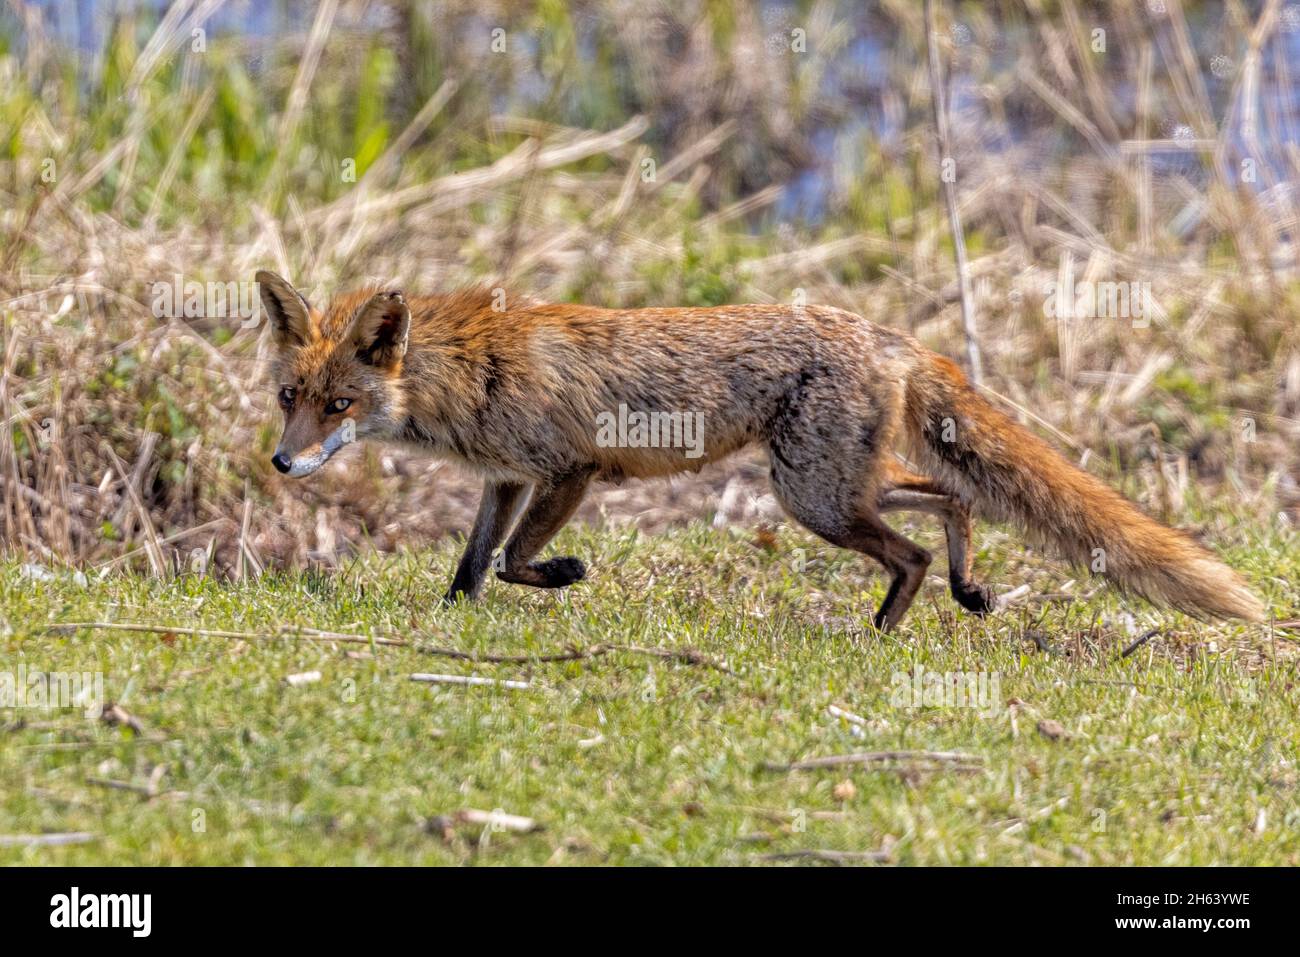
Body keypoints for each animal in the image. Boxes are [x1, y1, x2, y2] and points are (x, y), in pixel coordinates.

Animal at [255, 269, 1265, 632]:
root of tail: (885, 332)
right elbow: (471, 567)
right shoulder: (506, 479)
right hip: (832, 486)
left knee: (911, 549)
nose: (283, 465)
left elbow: (512, 561)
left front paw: (567, 575)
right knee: (954, 500)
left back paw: (883, 630)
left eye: (340, 404)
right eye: (287, 399)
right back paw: (964, 588)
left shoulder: (567, 471)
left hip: (808, 497)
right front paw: (453, 622)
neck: (472, 373)